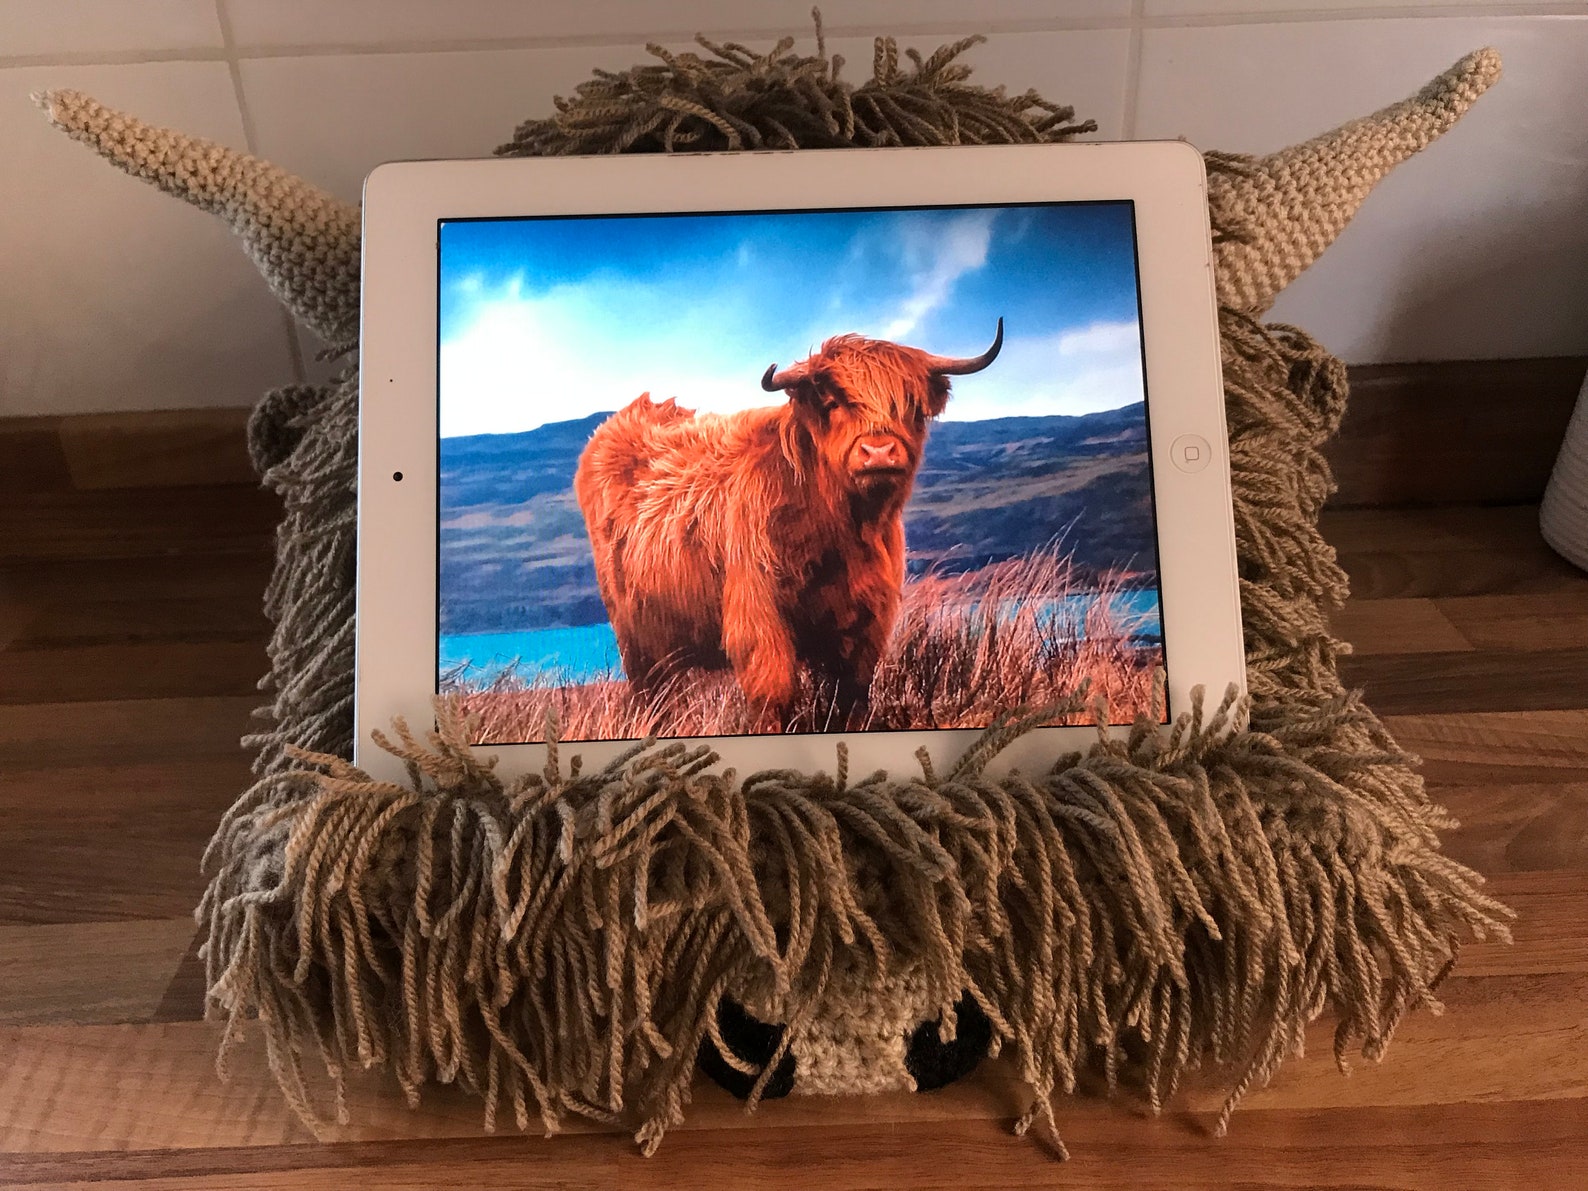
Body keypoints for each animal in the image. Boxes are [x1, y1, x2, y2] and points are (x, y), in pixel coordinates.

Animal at [573, 319, 1004, 732]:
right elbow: (774, 693)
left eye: (911, 406)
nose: (879, 452)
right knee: (653, 696)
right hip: (634, 637)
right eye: (833, 402)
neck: (839, 530)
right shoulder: (759, 615)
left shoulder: (866, 622)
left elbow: (852, 696)